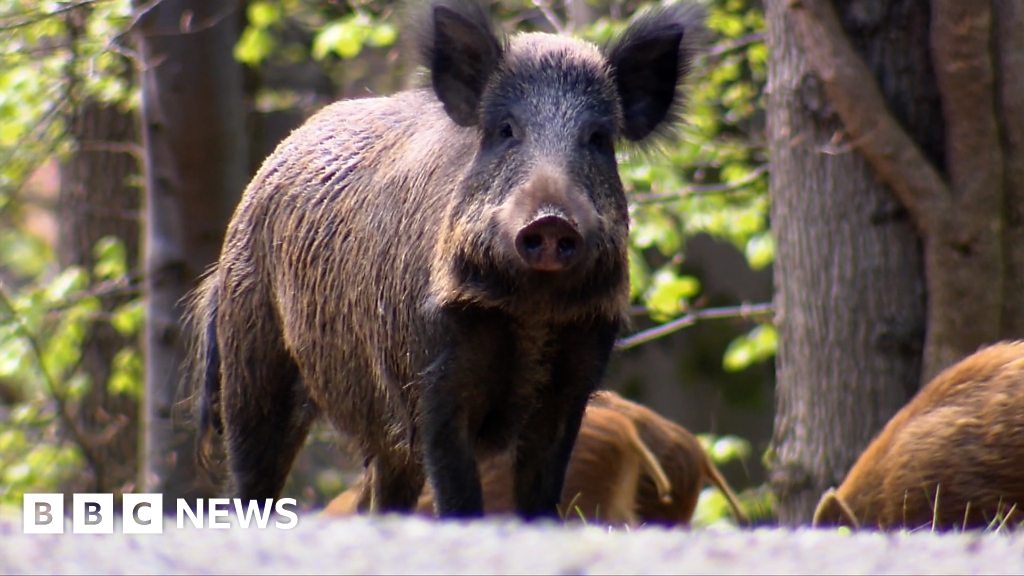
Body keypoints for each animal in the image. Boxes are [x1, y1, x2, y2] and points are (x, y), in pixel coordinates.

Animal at [190, 0, 704, 520]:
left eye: (598, 138)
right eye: (506, 130)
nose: (551, 220)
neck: (531, 312)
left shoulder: (574, 381)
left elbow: (541, 499)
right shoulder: (432, 379)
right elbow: (458, 498)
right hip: (251, 361)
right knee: (253, 474)